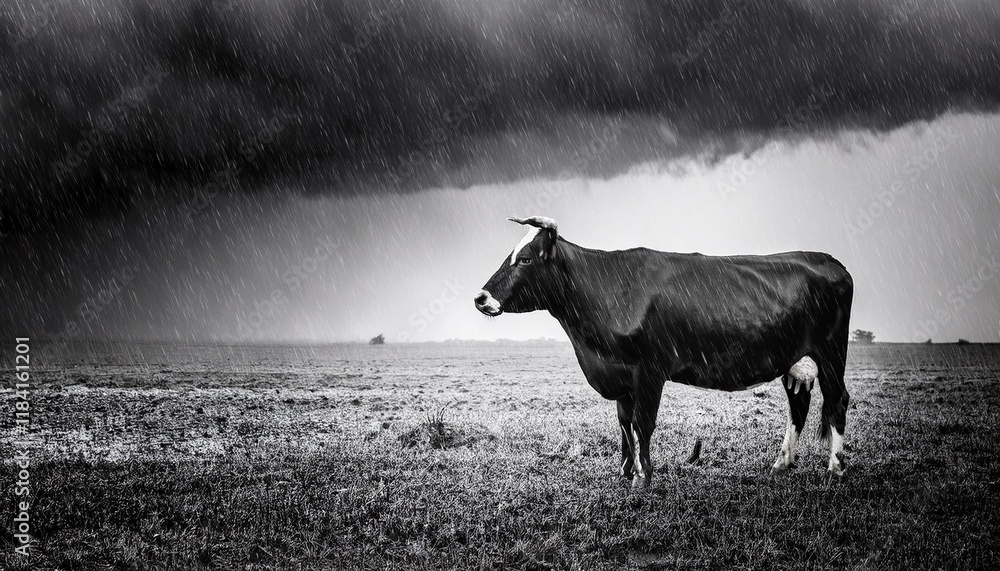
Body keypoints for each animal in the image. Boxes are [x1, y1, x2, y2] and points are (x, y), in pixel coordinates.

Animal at [474, 216, 854, 487]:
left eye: (525, 259)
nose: (481, 297)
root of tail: (828, 260)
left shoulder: (649, 370)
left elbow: (642, 423)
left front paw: (643, 478)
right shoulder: (621, 374)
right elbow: (624, 422)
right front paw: (626, 471)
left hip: (831, 352)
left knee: (837, 400)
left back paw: (835, 469)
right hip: (794, 360)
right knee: (799, 406)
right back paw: (781, 464)